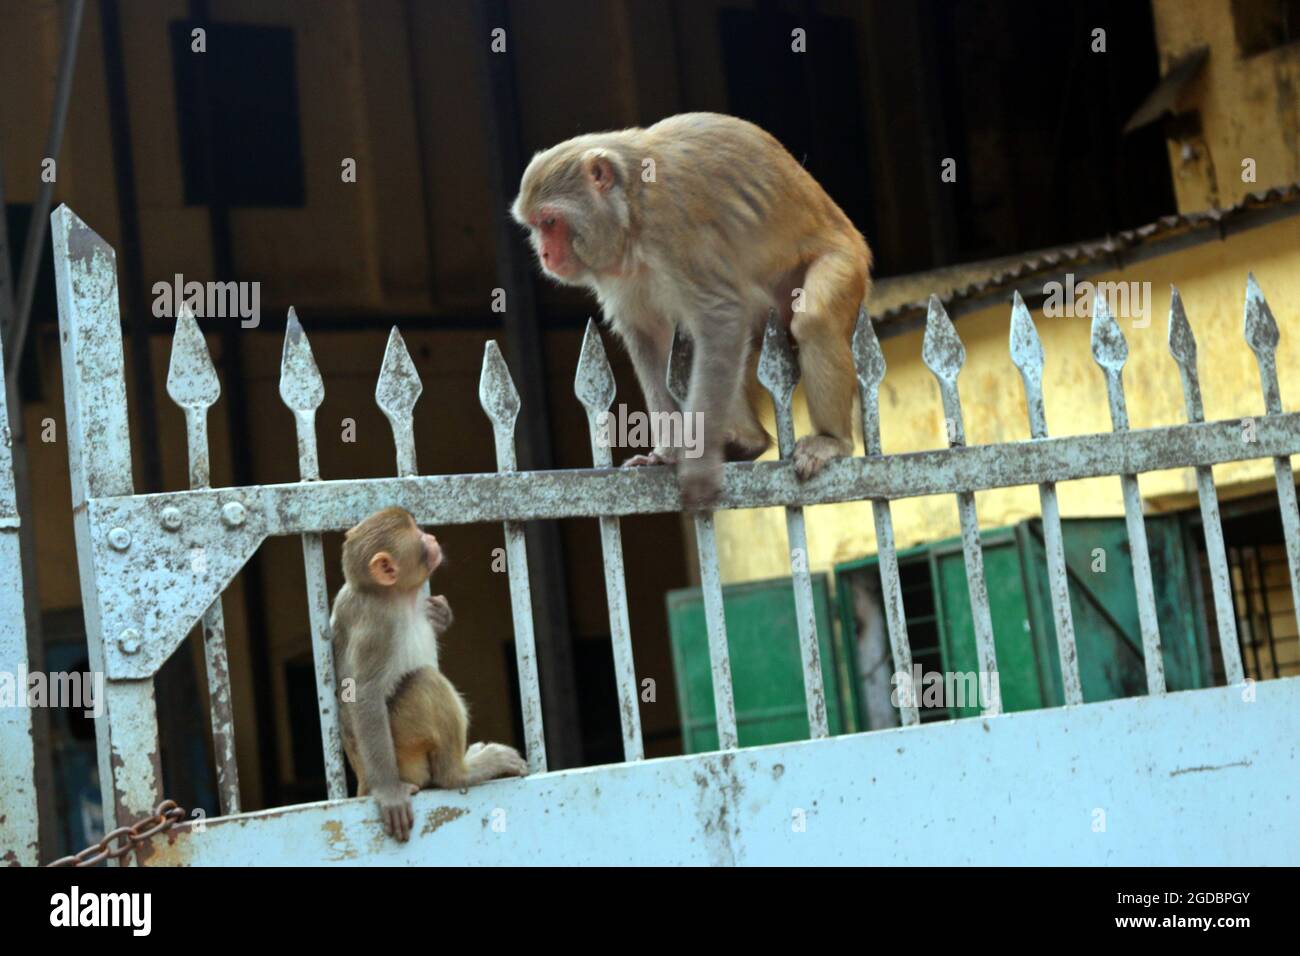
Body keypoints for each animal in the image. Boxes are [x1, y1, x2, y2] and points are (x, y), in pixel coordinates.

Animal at [331, 507, 527, 842]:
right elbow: (365, 693)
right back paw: (461, 772)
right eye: (419, 538)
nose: (432, 537)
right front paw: (389, 793)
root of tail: (363, 779)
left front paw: (440, 616)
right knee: (426, 682)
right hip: (405, 749)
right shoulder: (378, 626)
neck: (393, 596)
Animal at [511, 112, 872, 509]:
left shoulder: (672, 222)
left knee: (812, 319)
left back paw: (829, 441)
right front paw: (667, 452)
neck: (632, 207)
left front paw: (697, 466)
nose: (545, 254)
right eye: (535, 226)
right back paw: (749, 442)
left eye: (550, 222)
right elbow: (648, 337)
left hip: (846, 260)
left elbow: (720, 317)